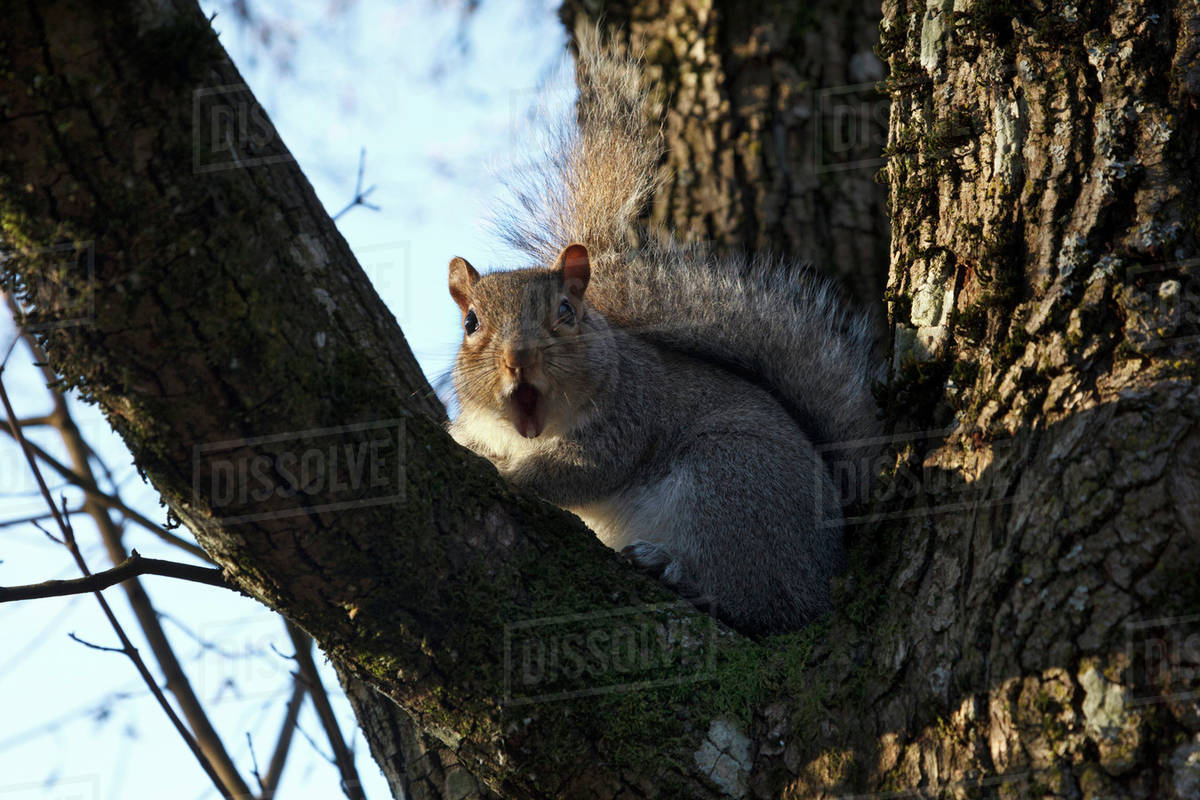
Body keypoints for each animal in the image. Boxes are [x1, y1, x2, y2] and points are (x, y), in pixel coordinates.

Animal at [446, 27, 880, 635]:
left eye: (566, 312)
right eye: (471, 323)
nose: (518, 358)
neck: (527, 432)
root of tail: (827, 570)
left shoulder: (631, 415)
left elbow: (578, 472)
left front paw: (509, 472)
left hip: (729, 484)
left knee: (760, 600)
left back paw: (672, 568)